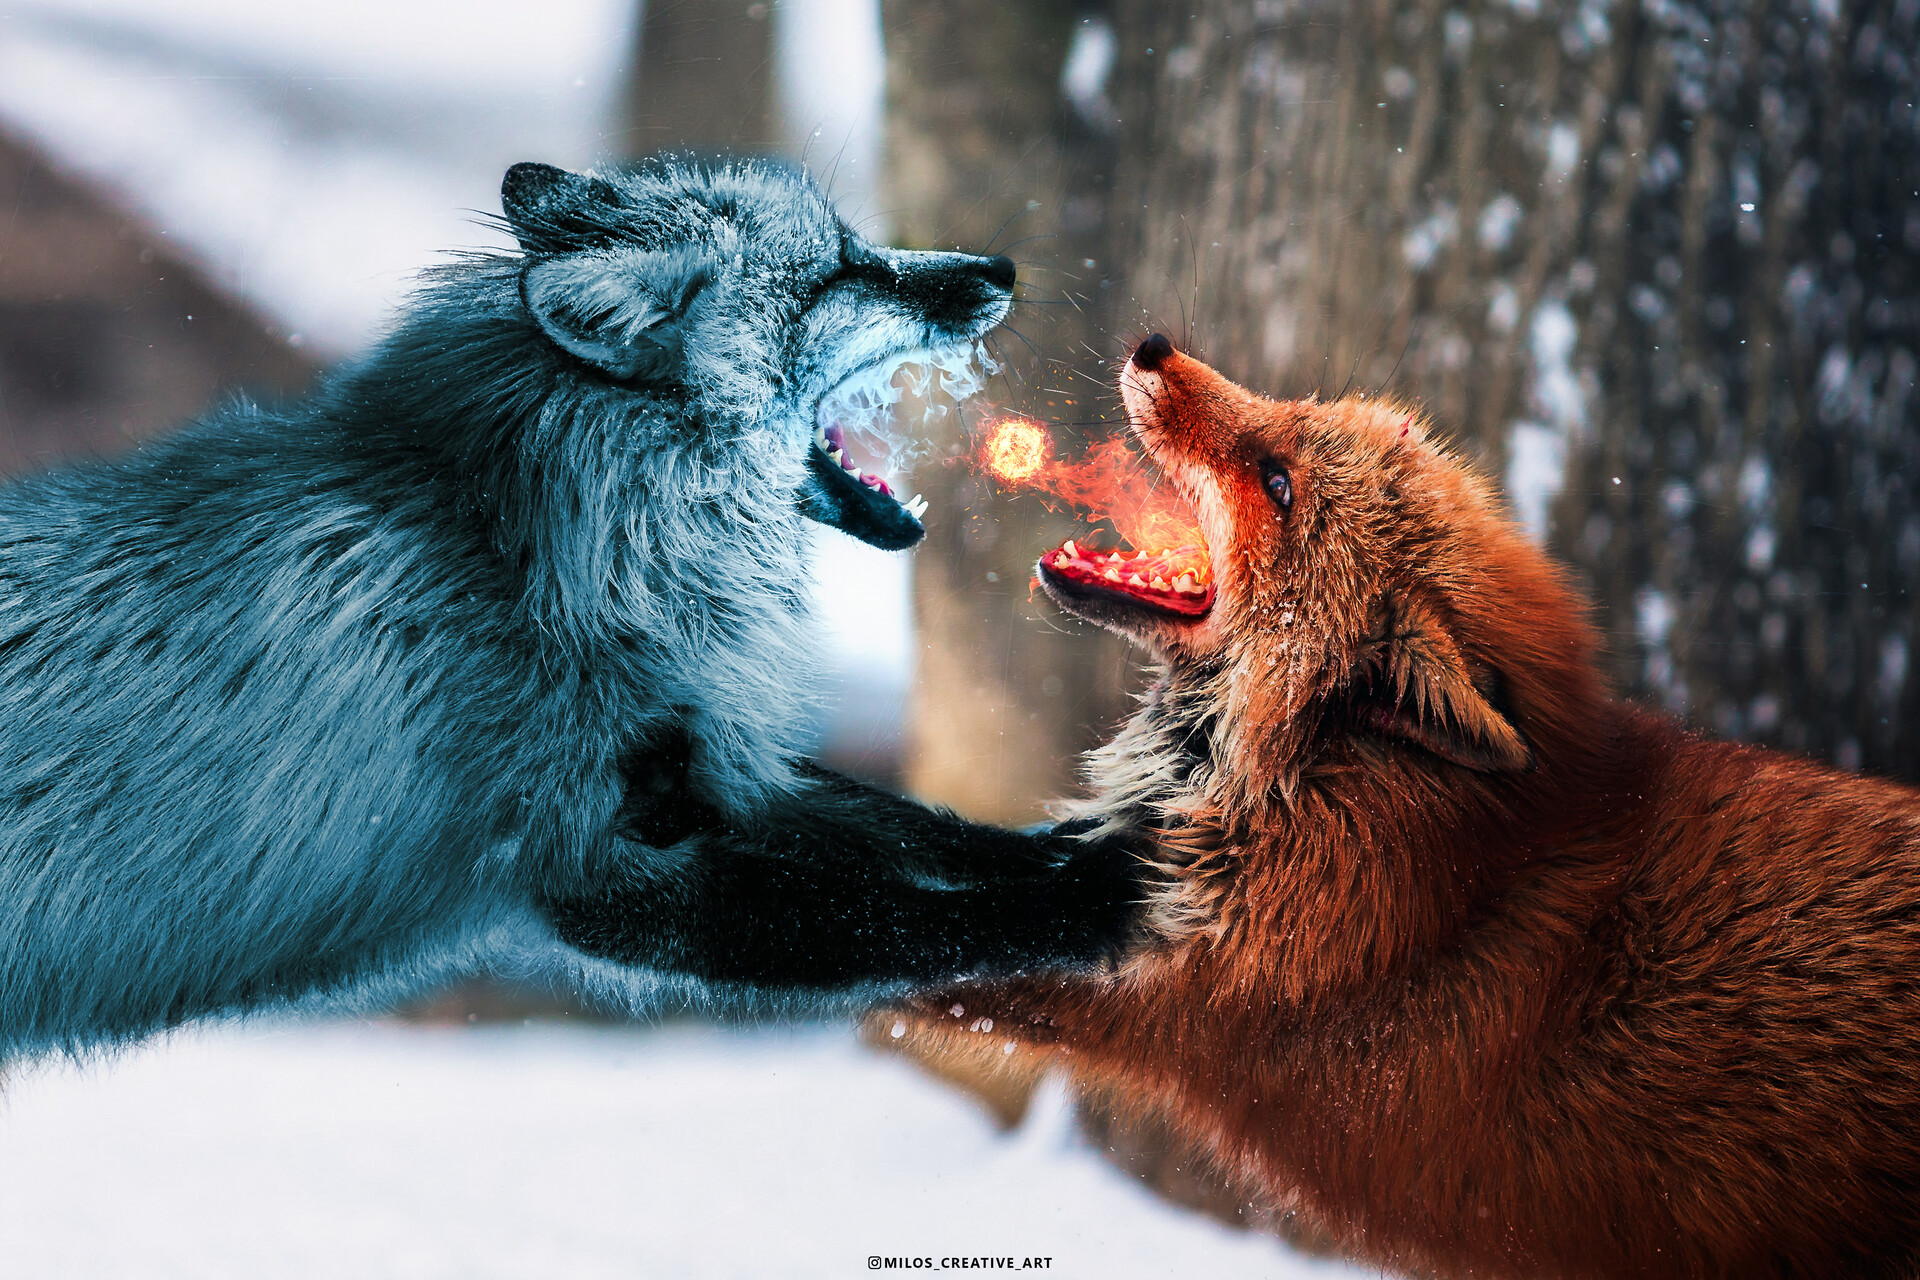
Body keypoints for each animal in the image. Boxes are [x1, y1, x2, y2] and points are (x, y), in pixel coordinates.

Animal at [0, 159, 1143, 1061]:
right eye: (834, 275)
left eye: (856, 247)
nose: (1000, 272)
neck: (543, 563)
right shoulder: (598, 868)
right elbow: (894, 919)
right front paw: (1092, 900)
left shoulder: (711, 770)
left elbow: (919, 831)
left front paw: (1082, 844)